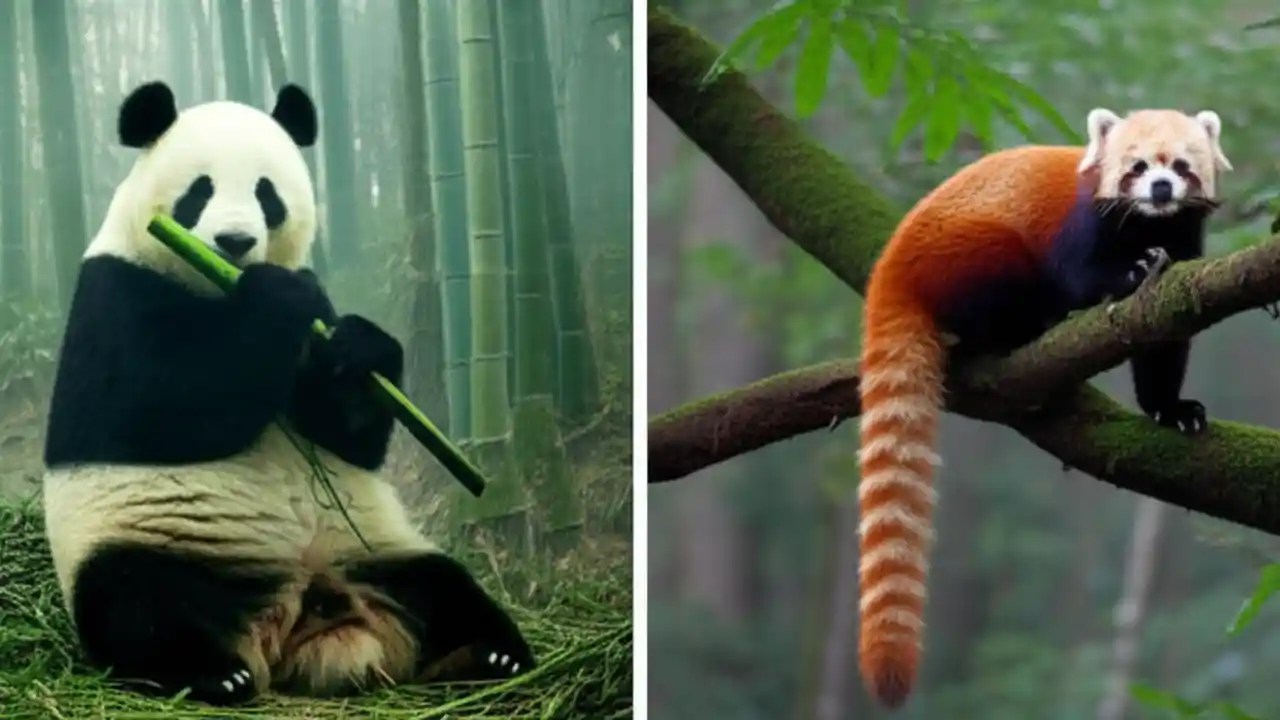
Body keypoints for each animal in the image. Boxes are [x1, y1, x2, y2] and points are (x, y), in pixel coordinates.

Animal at [40, 81, 535, 705]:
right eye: (199, 191)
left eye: (266, 193)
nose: (234, 241)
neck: (219, 287)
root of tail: (302, 606)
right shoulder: (116, 292)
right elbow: (156, 410)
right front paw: (271, 301)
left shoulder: (317, 310)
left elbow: (344, 431)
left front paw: (362, 349)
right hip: (156, 541)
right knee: (137, 603)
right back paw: (215, 672)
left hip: (374, 552)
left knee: (445, 587)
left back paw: (493, 653)